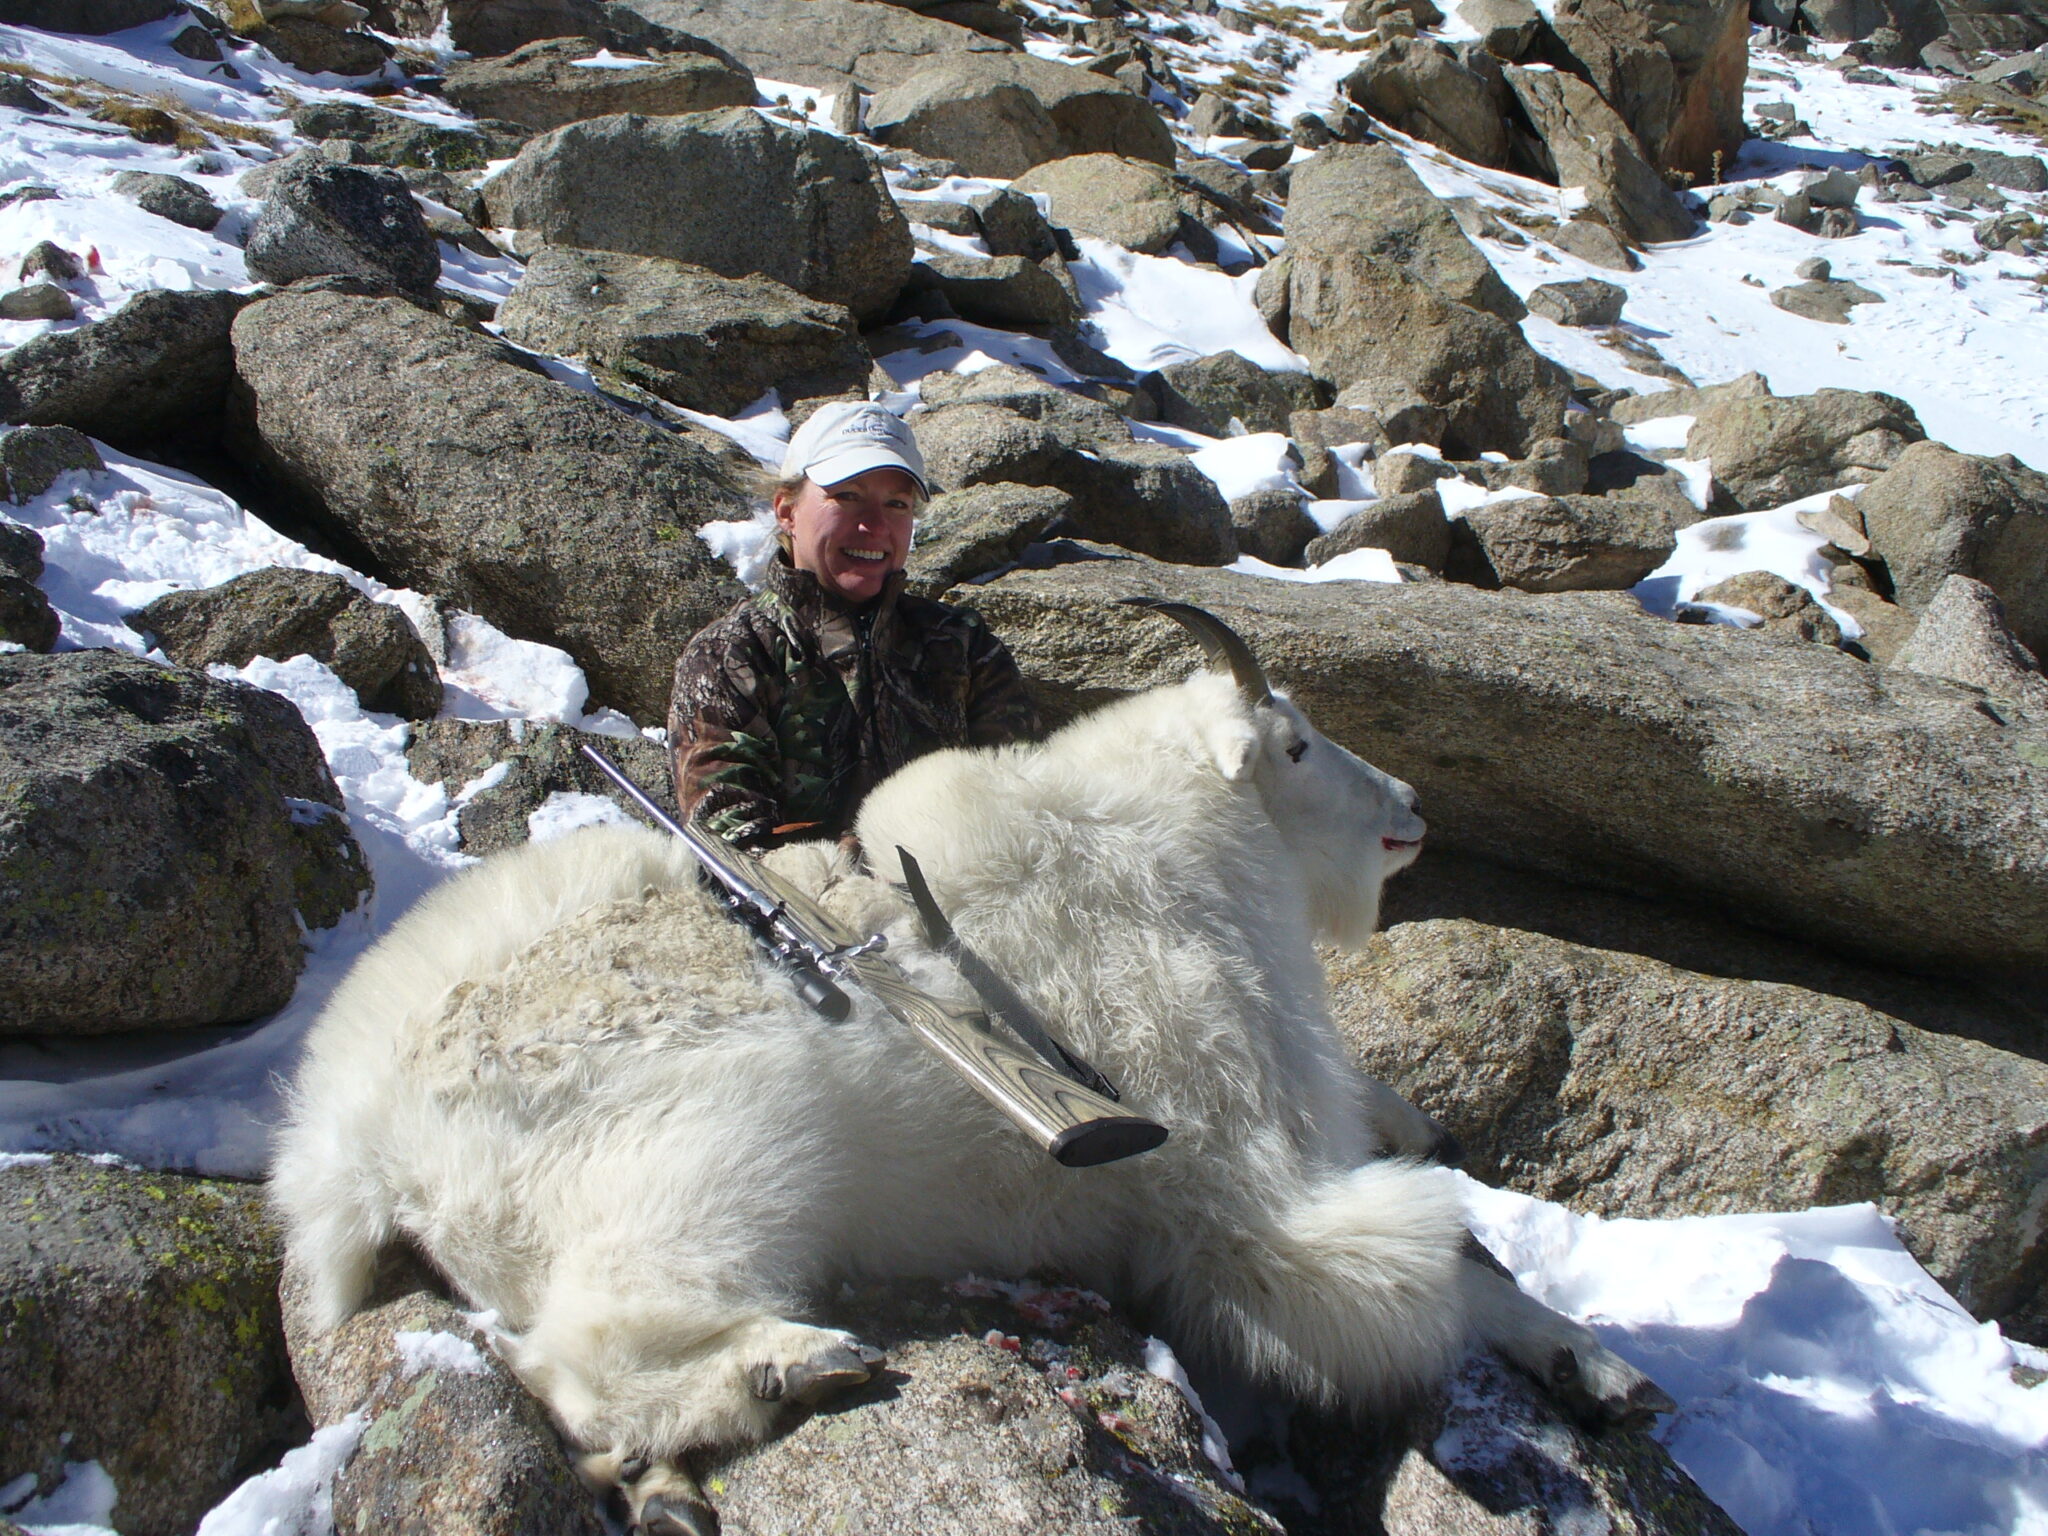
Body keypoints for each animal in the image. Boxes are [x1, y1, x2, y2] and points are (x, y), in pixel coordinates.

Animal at [270, 603, 1668, 1535]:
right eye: (1295, 746)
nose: (1413, 808)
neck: (1180, 853)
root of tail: (360, 1156)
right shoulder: (1241, 1194)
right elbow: (1440, 1264)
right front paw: (1604, 1371)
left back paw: (672, 1478)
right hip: (720, 1170)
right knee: (583, 1354)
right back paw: (798, 1362)